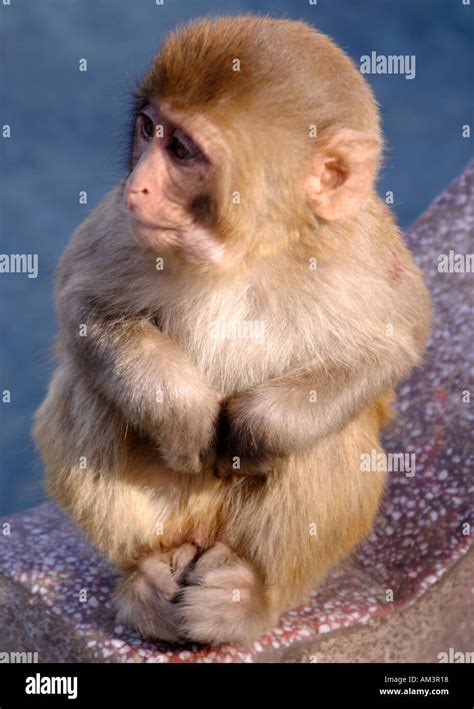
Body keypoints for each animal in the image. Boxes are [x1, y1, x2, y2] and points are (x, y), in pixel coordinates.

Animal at [33, 16, 431, 645]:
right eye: (148, 128)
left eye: (181, 149)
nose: (138, 186)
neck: (248, 252)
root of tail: (202, 528)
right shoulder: (125, 227)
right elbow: (82, 301)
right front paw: (182, 411)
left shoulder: (362, 248)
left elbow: (394, 344)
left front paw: (258, 428)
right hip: (170, 503)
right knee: (88, 389)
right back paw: (143, 575)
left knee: (329, 436)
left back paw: (251, 594)